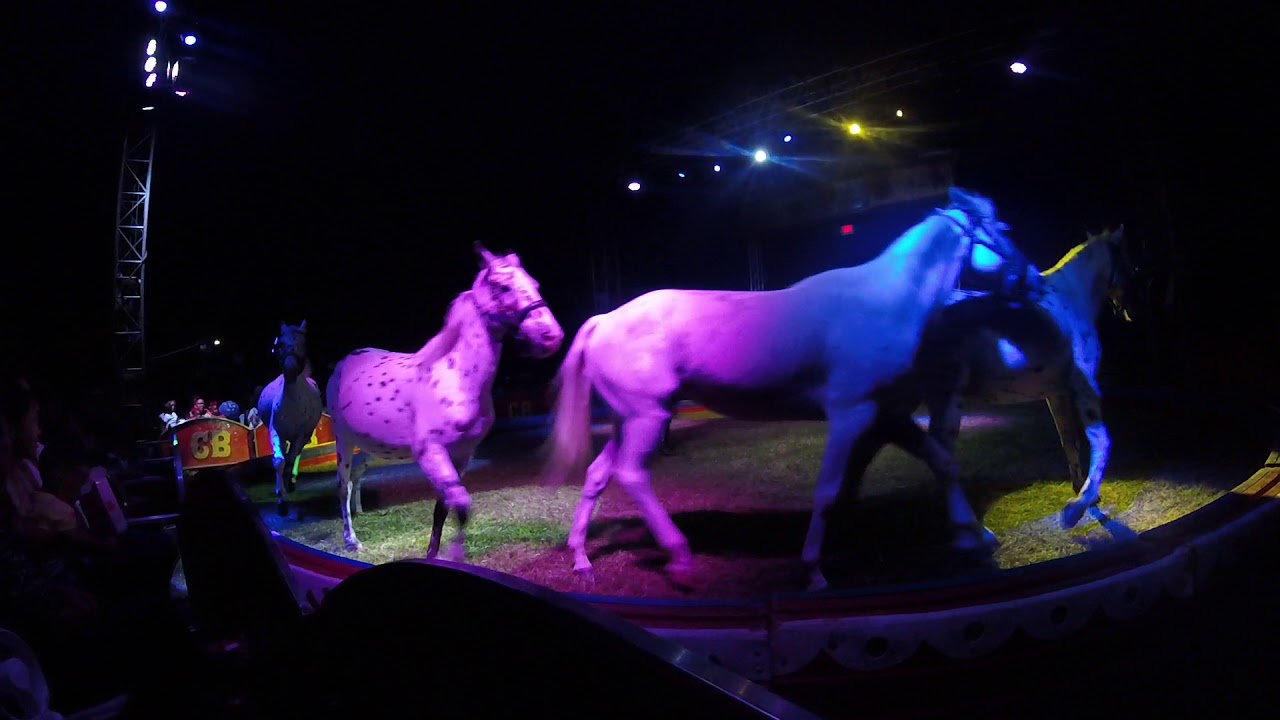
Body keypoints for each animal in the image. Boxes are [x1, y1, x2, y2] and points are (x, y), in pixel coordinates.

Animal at [257, 320, 325, 516]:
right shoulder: (275, 431)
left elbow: (290, 459)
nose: (290, 370)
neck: (293, 401)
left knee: (296, 454)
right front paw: (281, 500)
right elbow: (279, 461)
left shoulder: (300, 435)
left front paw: (287, 487)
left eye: (303, 342)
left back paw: (291, 480)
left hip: (304, 435)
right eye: (280, 344)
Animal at [327, 243, 564, 558]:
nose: (551, 335)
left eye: (534, 284)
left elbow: (444, 509)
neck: (456, 378)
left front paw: (434, 553)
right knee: (343, 487)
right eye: (502, 286)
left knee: (356, 476)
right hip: (343, 441)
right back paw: (351, 540)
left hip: (372, 447)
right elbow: (462, 506)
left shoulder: (461, 456)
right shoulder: (432, 454)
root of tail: (344, 362)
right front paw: (454, 555)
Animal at [543, 187, 1045, 591]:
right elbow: (828, 489)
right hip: (648, 417)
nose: (1035, 282)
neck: (885, 303)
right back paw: (680, 558)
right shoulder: (851, 414)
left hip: (630, 419)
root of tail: (605, 318)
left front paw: (975, 534)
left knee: (599, 474)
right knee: (632, 474)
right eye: (1003, 228)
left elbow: (942, 461)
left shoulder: (889, 416)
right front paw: (814, 571)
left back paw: (582, 558)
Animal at [915, 226, 1140, 531]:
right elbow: (1101, 440)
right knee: (942, 458)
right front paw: (1076, 508)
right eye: (1129, 262)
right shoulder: (1085, 390)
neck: (1070, 300)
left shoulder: (1056, 394)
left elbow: (1069, 440)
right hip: (947, 400)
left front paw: (1081, 492)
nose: (1130, 307)